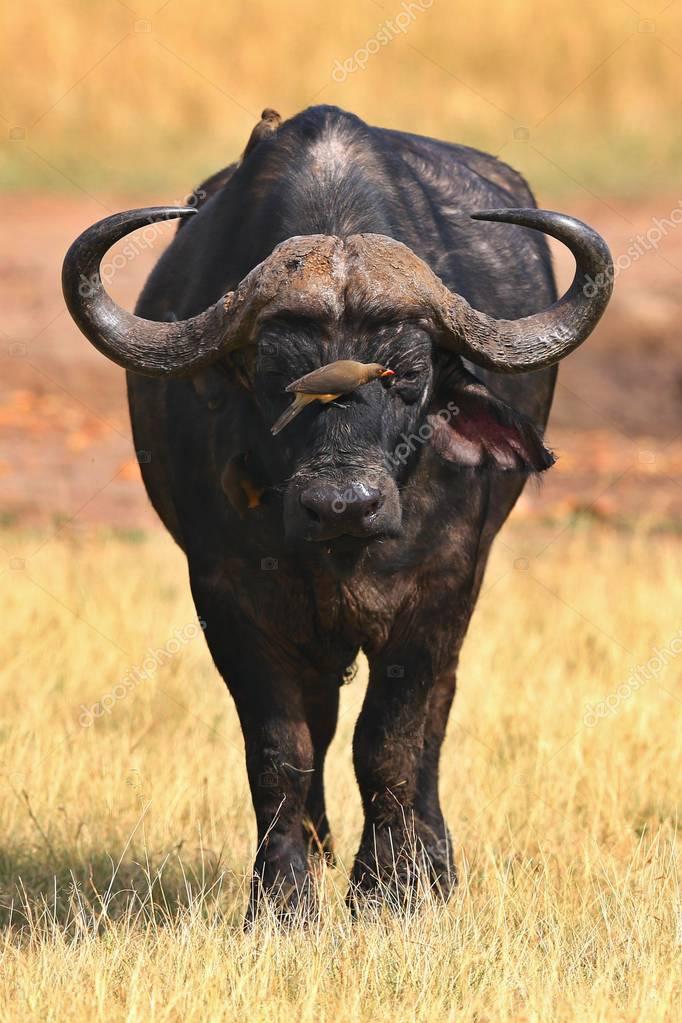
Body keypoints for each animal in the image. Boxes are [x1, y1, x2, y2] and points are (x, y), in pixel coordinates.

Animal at [63, 105, 612, 919]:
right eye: (275, 378)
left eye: (408, 375)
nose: (342, 505)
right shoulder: (229, 597)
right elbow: (282, 747)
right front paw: (284, 897)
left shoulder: (439, 592)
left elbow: (390, 740)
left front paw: (389, 887)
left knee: (432, 722)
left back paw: (433, 860)